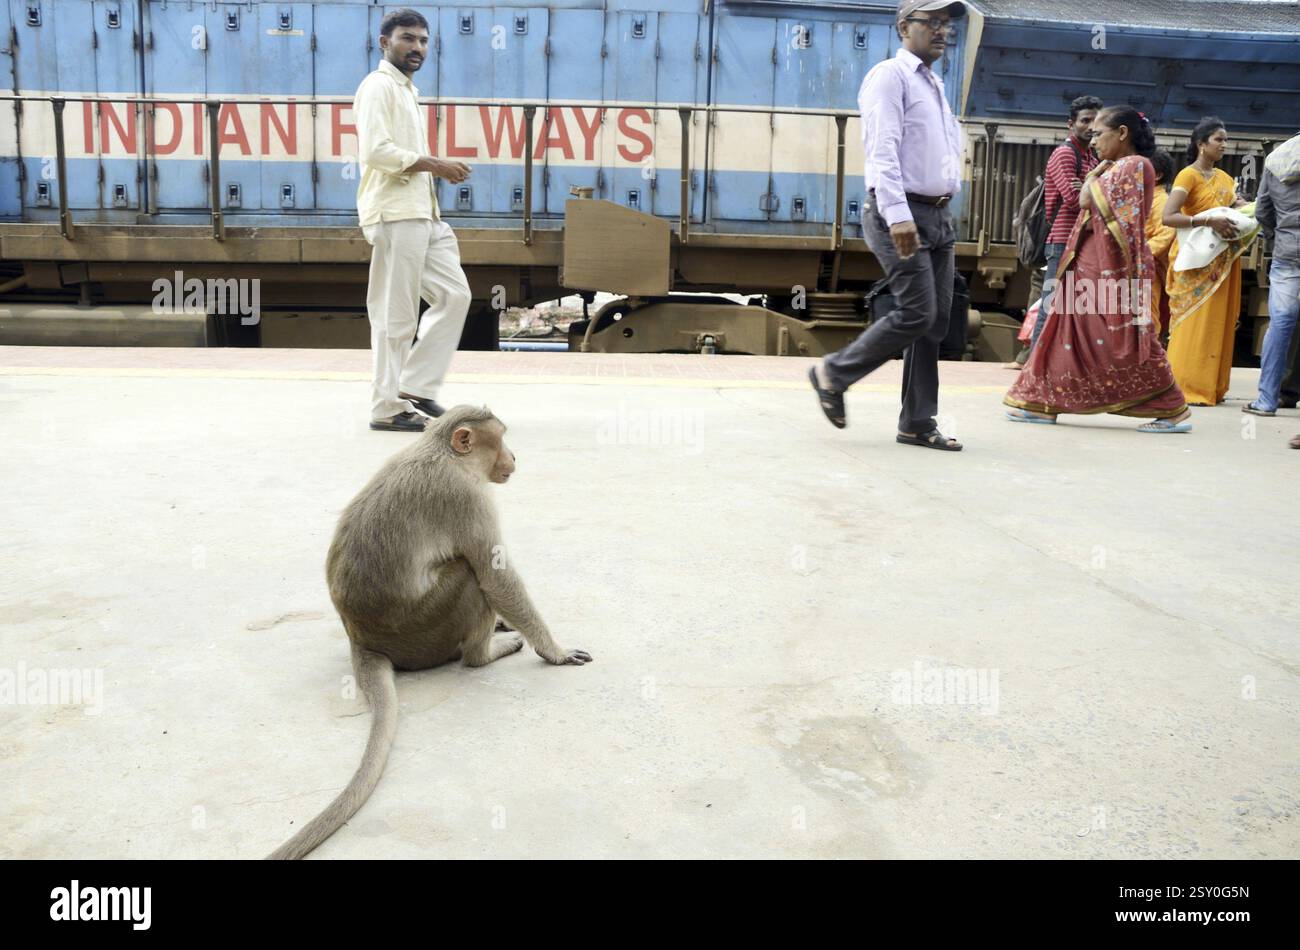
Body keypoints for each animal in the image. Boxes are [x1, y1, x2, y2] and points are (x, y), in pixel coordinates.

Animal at [266, 405, 591, 860]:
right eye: (500, 440)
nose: (514, 456)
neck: (445, 455)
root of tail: (361, 636)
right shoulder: (469, 499)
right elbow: (494, 575)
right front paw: (555, 651)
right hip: (427, 630)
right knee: (469, 574)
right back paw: (484, 652)